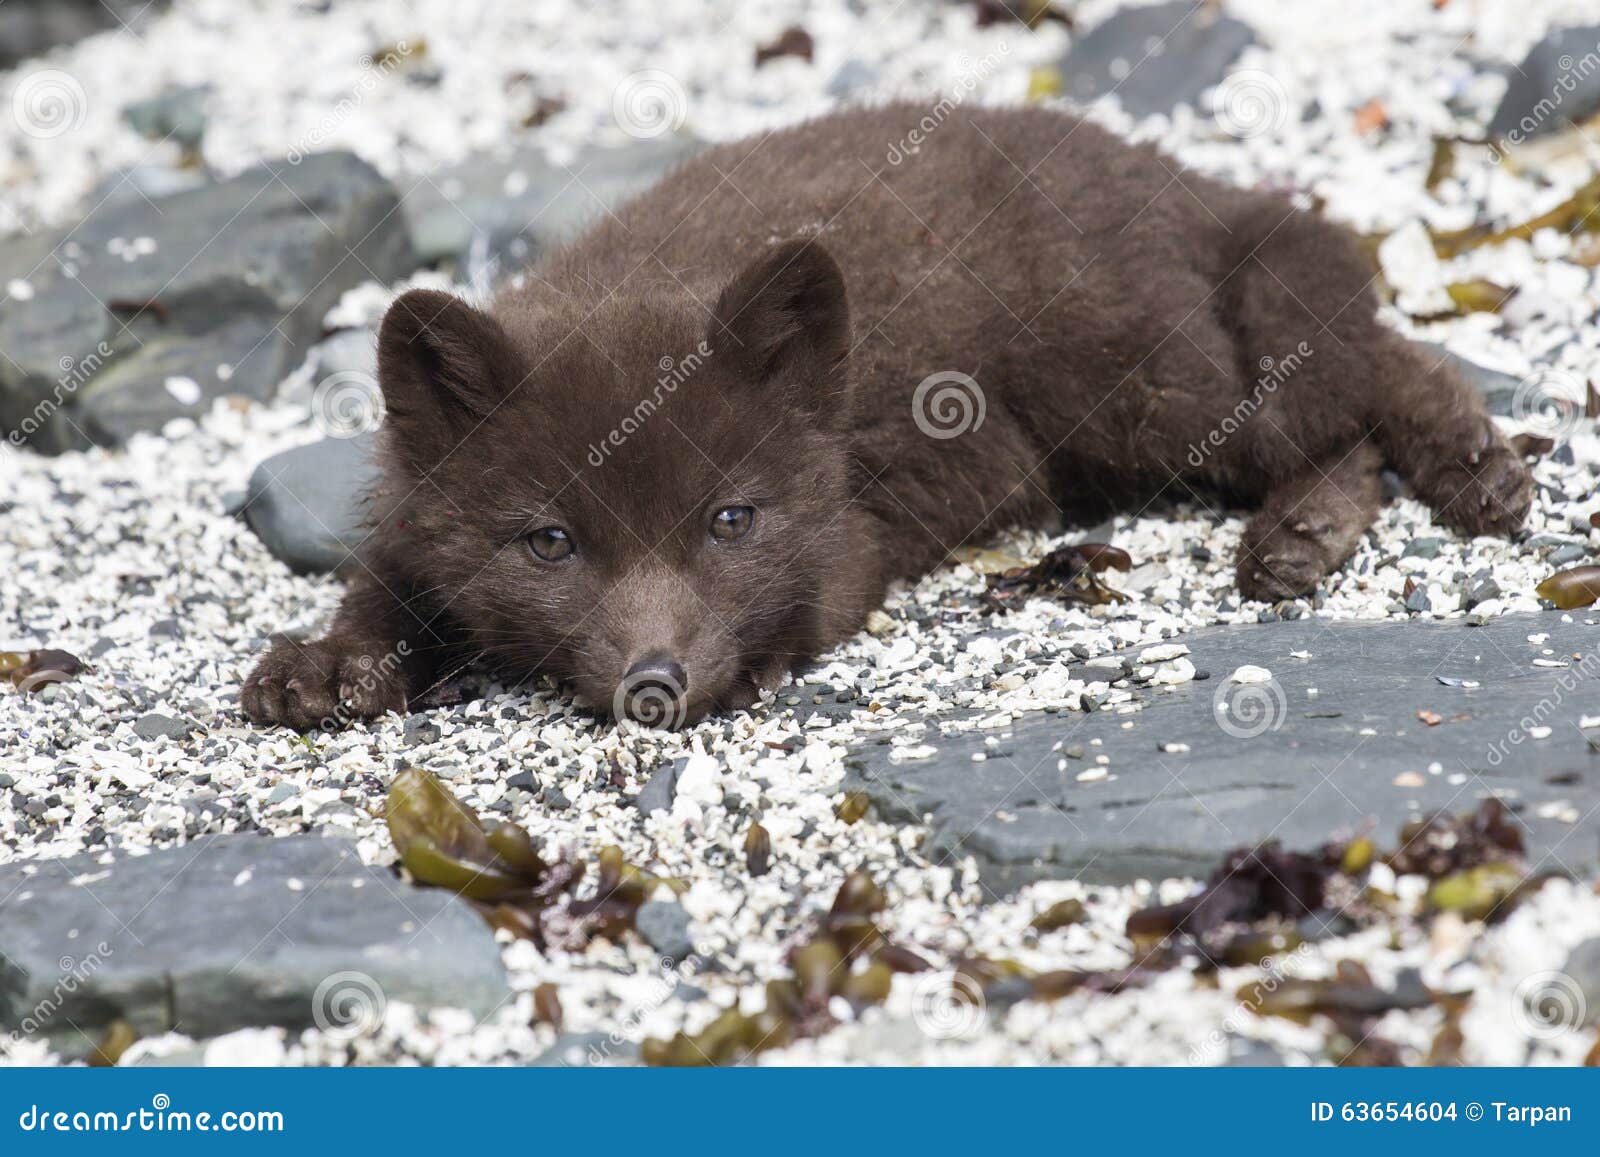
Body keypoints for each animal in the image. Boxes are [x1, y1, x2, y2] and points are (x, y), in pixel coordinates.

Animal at [241, 102, 1532, 730]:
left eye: (731, 520)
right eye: (548, 540)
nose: (656, 679)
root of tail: (1177, 177)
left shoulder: (936, 477)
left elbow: (827, 581)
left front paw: (755, 658)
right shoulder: (415, 513)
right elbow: (383, 582)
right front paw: (326, 662)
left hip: (1150, 391)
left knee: (1366, 363)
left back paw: (1448, 477)